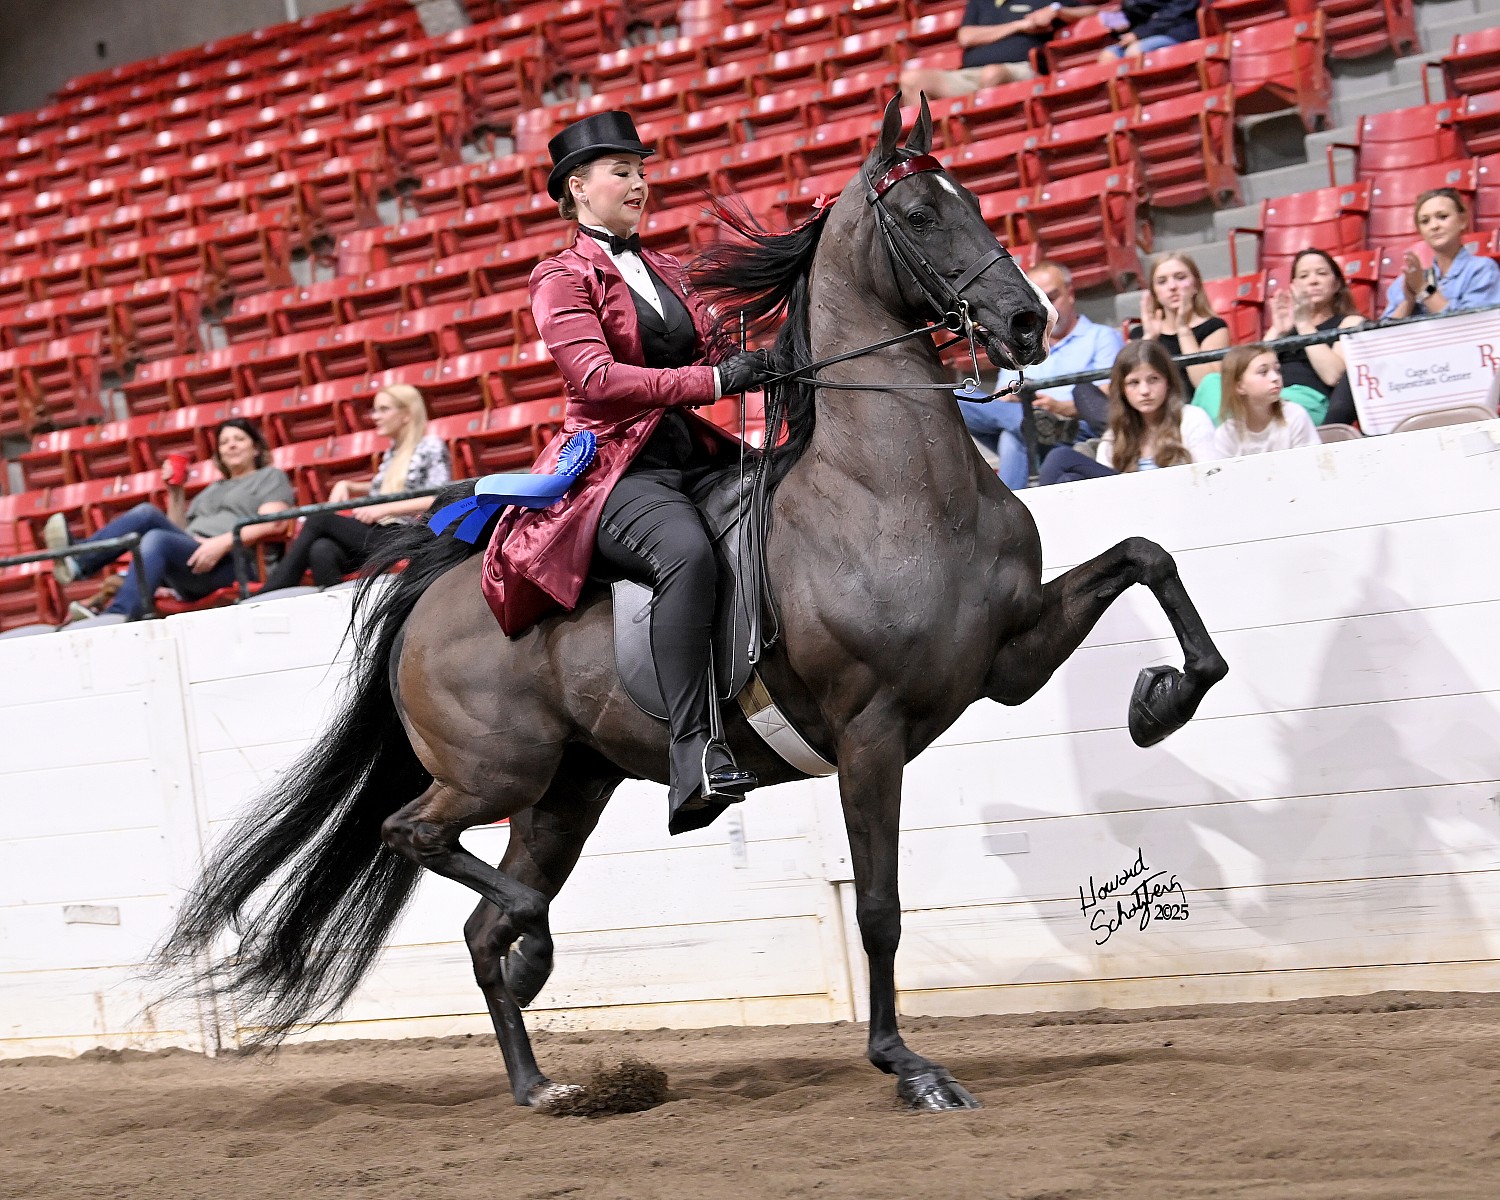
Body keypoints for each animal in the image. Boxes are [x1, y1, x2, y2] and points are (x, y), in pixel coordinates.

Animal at [156, 97, 1228, 1113]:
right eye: (924, 213)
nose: (1025, 325)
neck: (897, 488)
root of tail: (435, 594)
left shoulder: (1005, 660)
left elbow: (1148, 557)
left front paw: (1161, 700)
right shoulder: (871, 731)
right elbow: (878, 908)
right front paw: (909, 1067)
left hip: (565, 796)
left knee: (482, 924)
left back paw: (543, 1082)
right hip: (497, 772)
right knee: (421, 842)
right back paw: (542, 967)